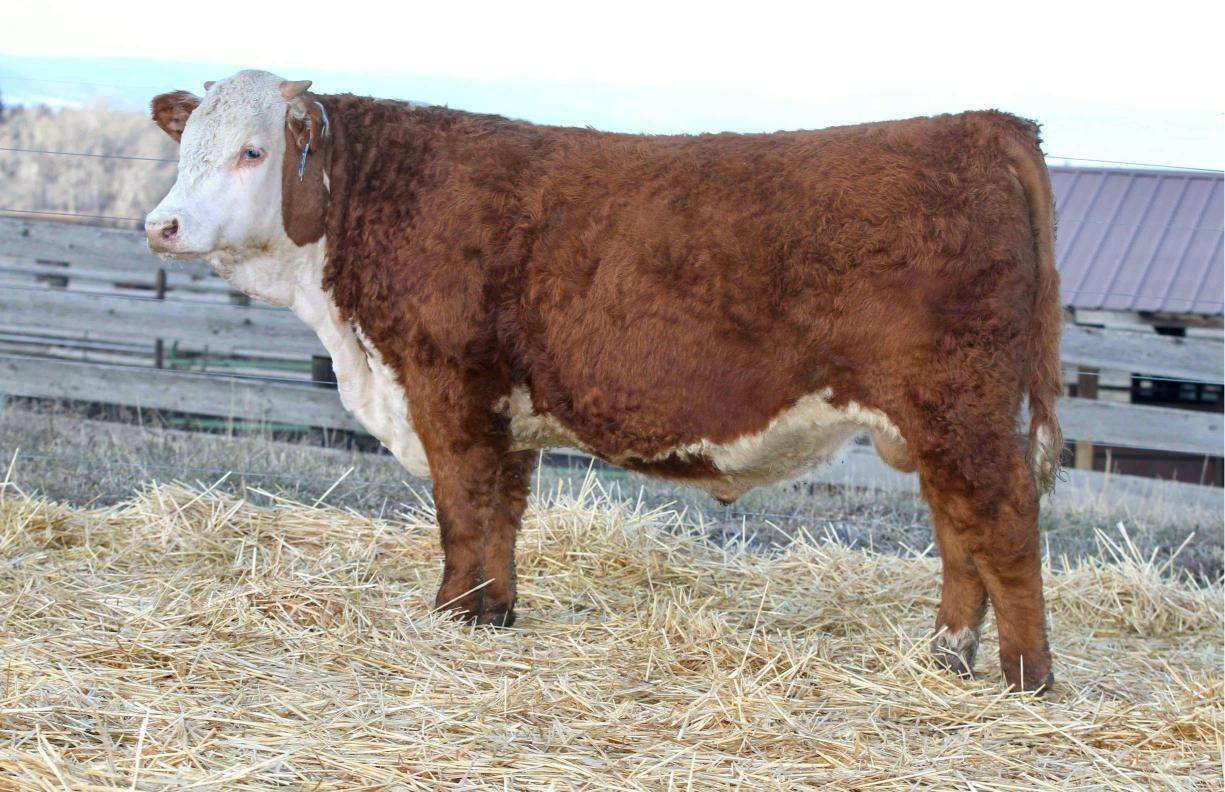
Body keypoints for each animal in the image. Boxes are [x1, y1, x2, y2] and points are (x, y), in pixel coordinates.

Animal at [146, 70, 1064, 693]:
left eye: (253, 151)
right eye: (185, 149)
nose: (162, 224)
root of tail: (979, 125)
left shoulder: (448, 389)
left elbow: (460, 514)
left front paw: (451, 614)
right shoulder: (506, 412)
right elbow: (501, 517)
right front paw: (495, 615)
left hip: (960, 404)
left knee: (1003, 522)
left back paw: (1025, 676)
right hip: (935, 419)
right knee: (958, 528)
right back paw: (946, 655)